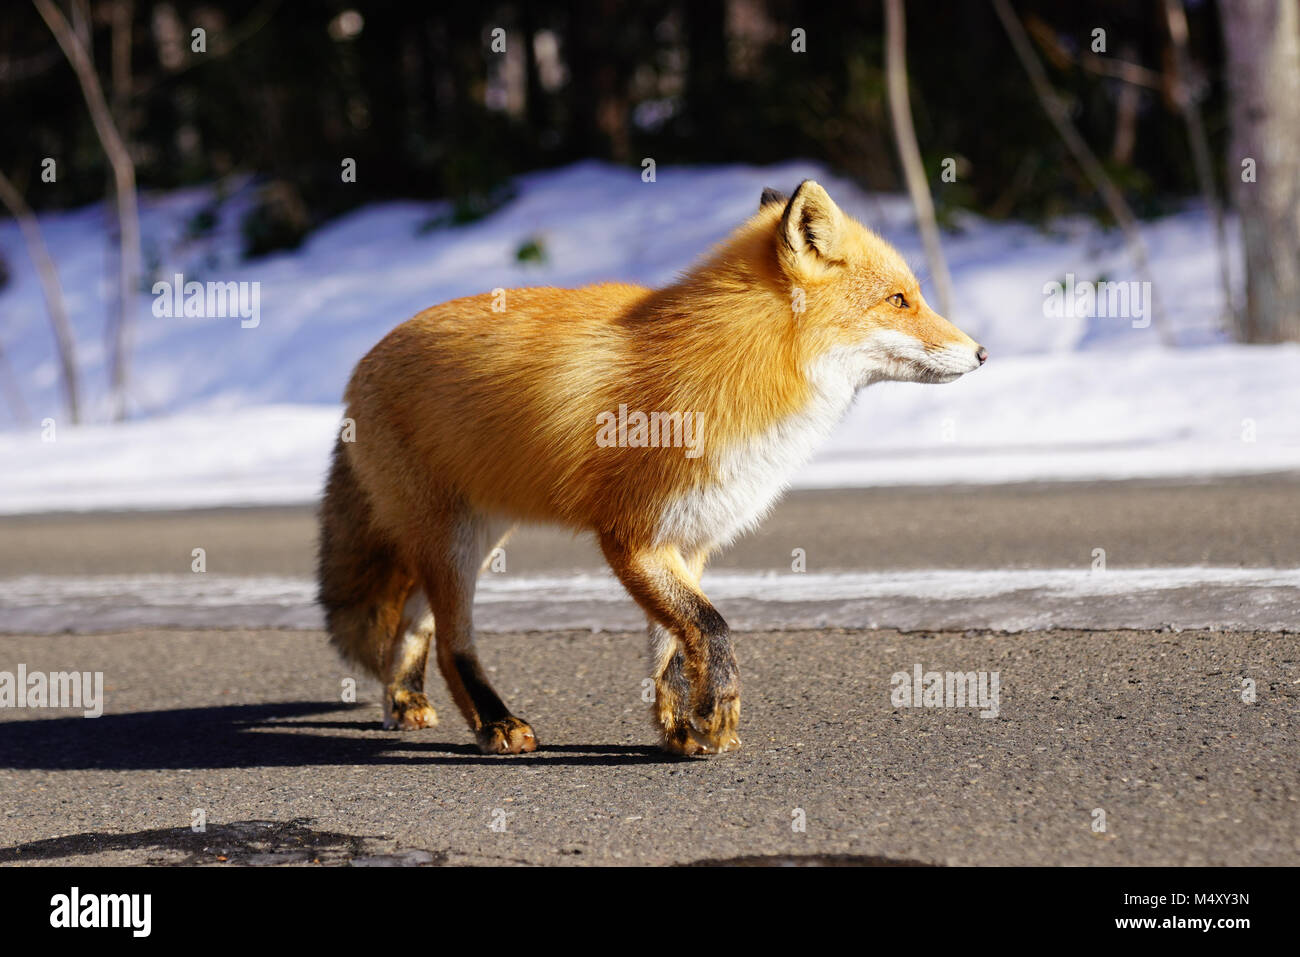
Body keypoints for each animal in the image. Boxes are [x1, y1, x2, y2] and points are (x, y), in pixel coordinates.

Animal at [317, 180, 986, 756]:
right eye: (899, 300)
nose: (981, 353)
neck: (735, 364)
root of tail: (361, 364)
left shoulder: (688, 537)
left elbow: (672, 650)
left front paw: (682, 730)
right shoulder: (631, 535)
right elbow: (710, 626)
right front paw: (716, 714)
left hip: (475, 536)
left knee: (411, 619)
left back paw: (404, 701)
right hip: (456, 541)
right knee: (453, 641)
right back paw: (495, 723)